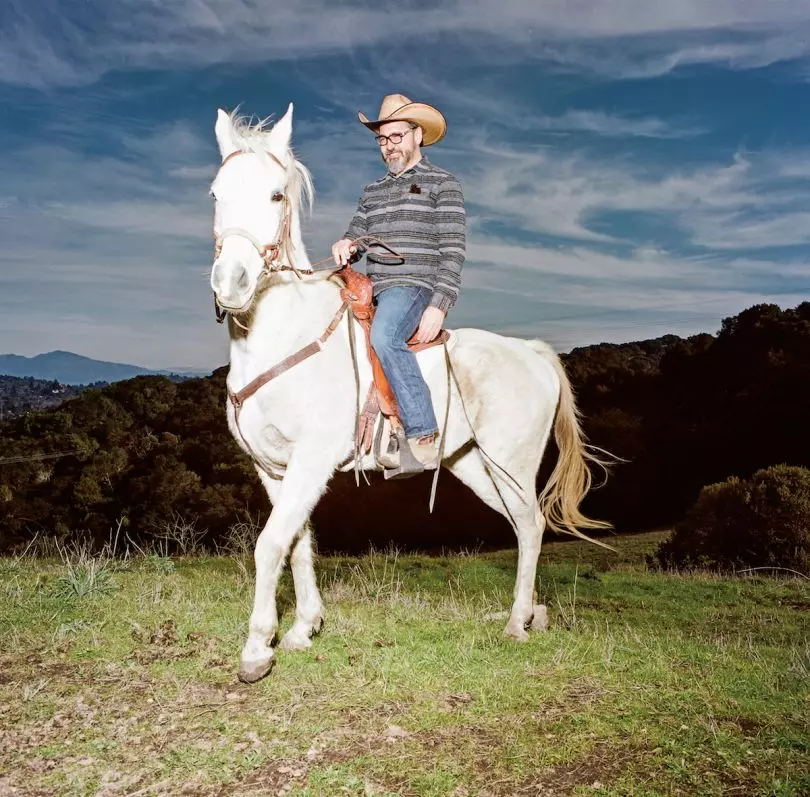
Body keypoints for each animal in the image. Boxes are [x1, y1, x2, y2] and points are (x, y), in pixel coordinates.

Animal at [208, 102, 608, 680]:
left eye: (277, 195)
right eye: (216, 193)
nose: (231, 283)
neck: (280, 335)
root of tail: (532, 353)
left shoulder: (311, 460)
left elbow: (271, 544)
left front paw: (259, 648)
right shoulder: (273, 467)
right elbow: (299, 543)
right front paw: (304, 629)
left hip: (511, 461)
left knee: (532, 526)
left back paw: (516, 623)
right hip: (471, 463)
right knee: (520, 525)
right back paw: (532, 613)